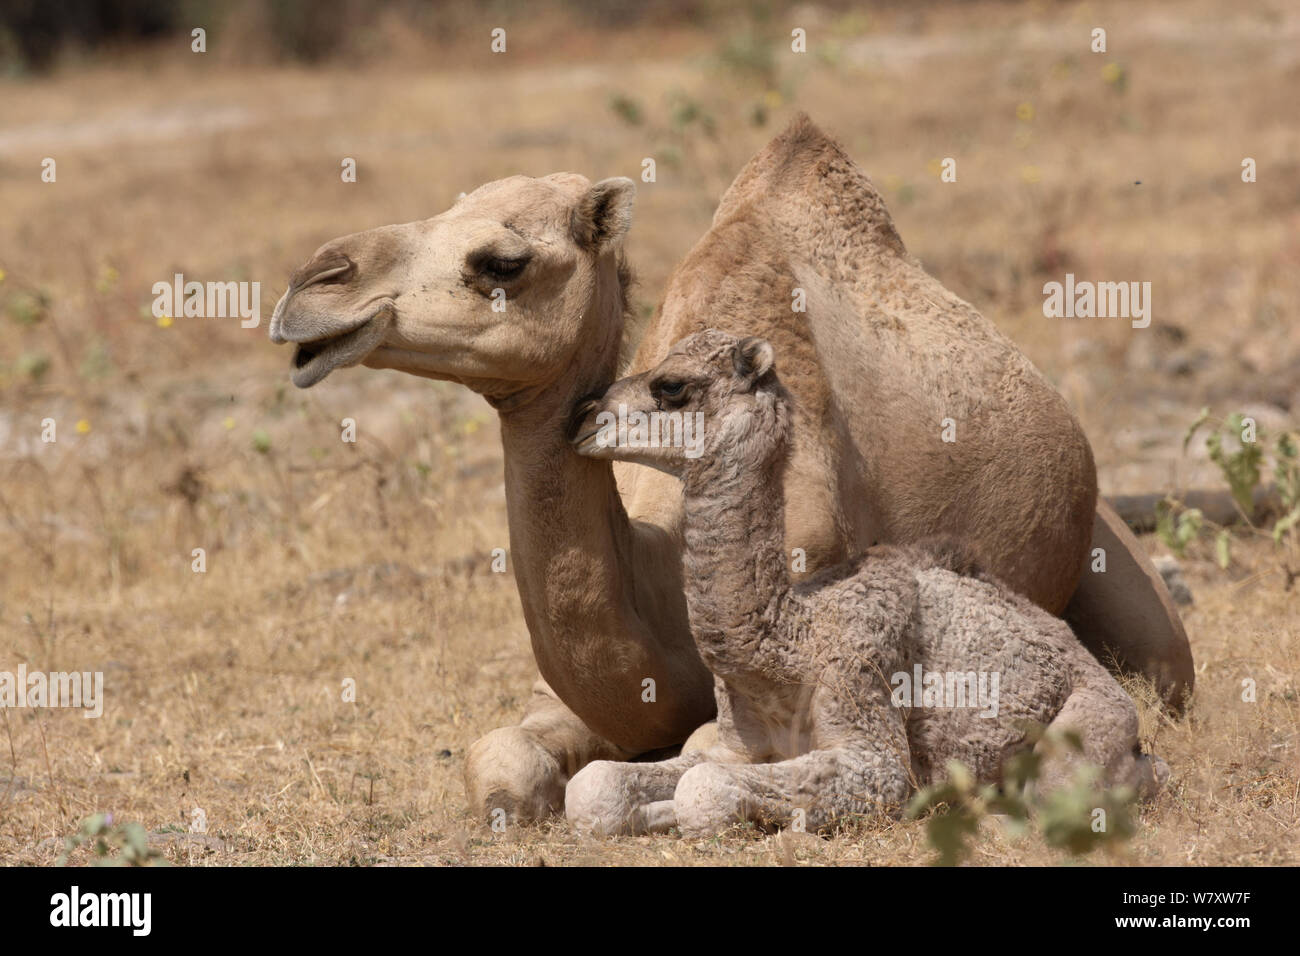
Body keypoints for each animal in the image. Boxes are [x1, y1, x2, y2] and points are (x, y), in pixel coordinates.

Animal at [564, 330, 1166, 836]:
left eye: (672, 386)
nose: (583, 415)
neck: (788, 645)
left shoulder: (867, 721)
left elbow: (704, 791)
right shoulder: (737, 747)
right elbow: (594, 786)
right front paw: (648, 811)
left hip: (1090, 727)